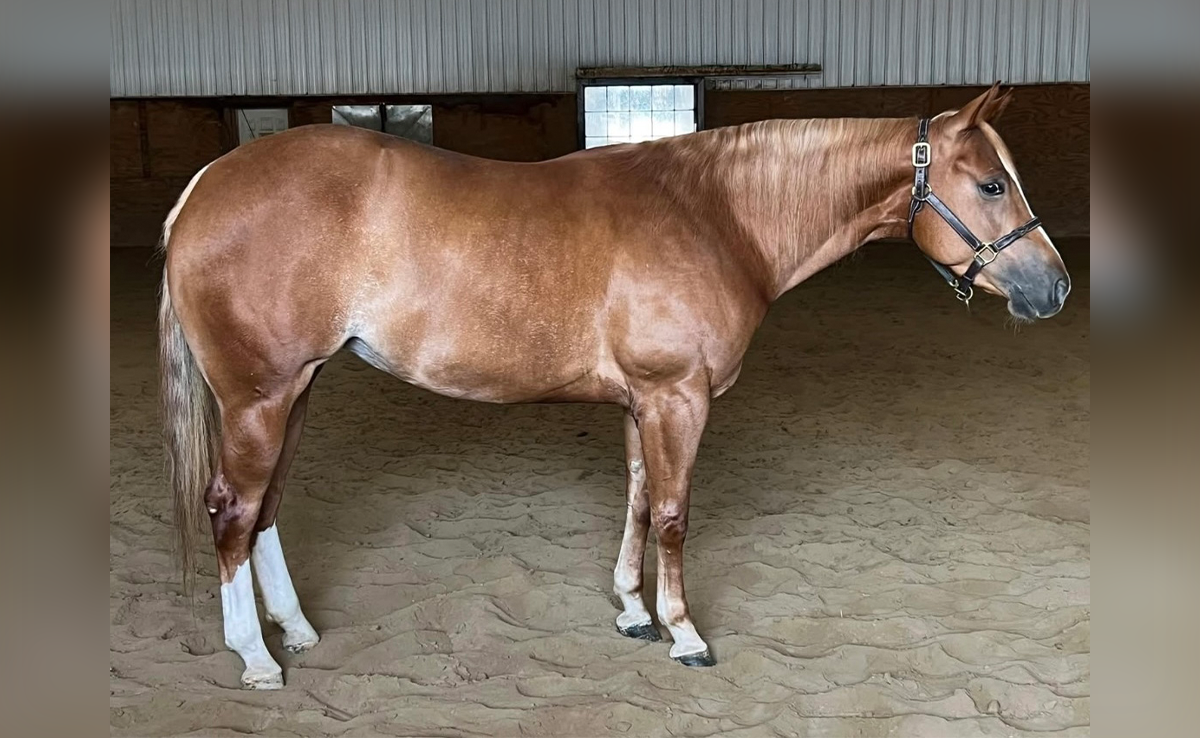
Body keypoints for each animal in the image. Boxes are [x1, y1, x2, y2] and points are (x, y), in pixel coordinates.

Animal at [158, 84, 1069, 688]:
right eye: (991, 184)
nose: (1055, 288)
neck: (717, 214)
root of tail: (205, 185)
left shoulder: (643, 403)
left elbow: (635, 498)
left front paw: (633, 611)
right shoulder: (677, 398)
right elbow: (672, 515)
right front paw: (684, 632)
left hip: (298, 389)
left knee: (267, 511)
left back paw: (297, 630)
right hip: (260, 399)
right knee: (233, 510)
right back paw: (255, 657)